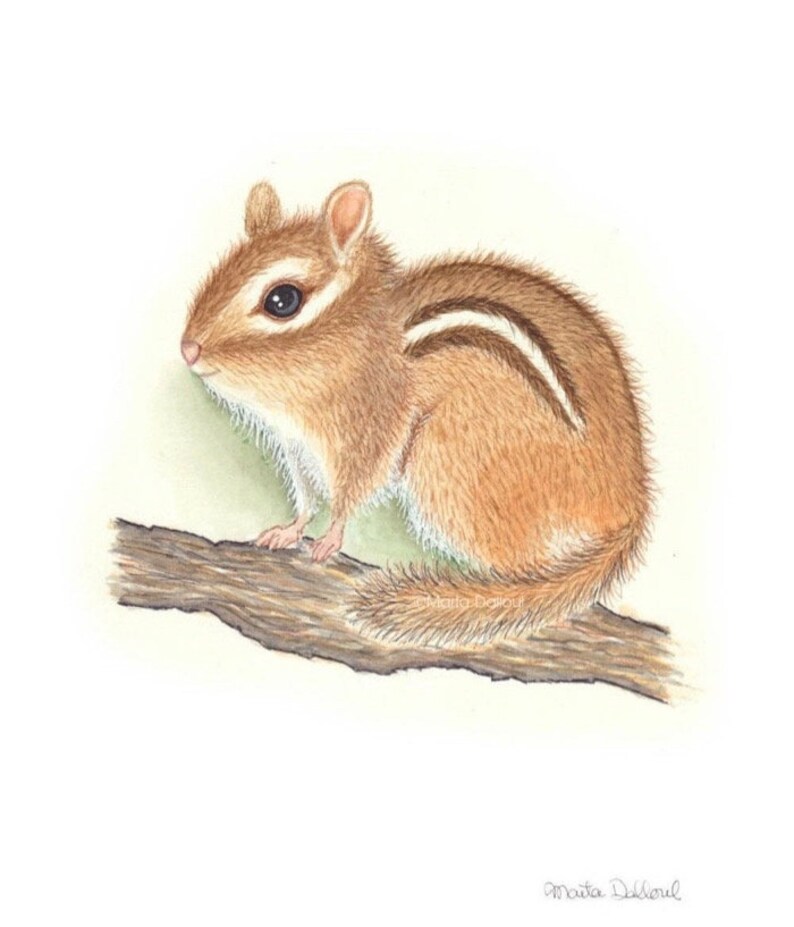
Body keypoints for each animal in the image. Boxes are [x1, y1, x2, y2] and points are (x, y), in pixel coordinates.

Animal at [180, 179, 653, 647]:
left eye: (282, 300)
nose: (188, 349)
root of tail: (627, 510)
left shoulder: (369, 435)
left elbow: (349, 495)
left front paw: (330, 539)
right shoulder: (295, 449)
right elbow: (306, 497)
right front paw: (288, 530)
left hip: (448, 465)